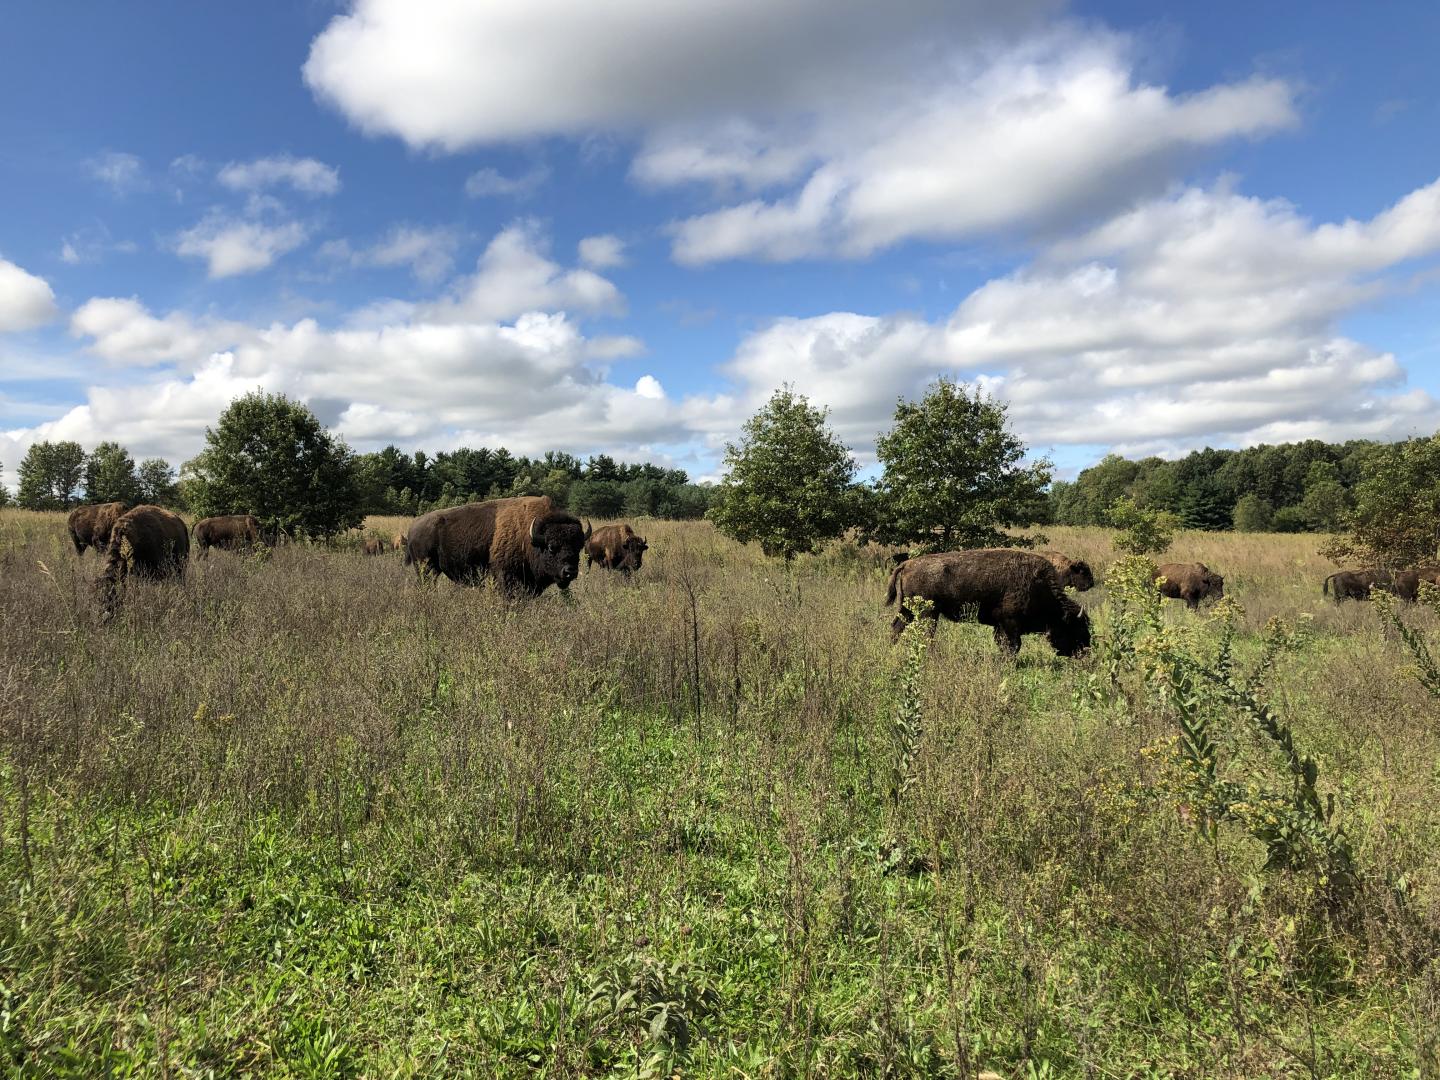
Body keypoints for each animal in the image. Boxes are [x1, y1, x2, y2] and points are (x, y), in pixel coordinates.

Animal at [403, 498, 587, 596]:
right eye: (551, 547)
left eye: (578, 547)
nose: (570, 571)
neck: (529, 537)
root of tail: (412, 527)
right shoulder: (505, 577)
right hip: (425, 568)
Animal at [875, 550, 1088, 659]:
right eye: (1077, 628)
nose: (1084, 652)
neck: (1039, 585)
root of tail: (907, 564)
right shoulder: (1010, 622)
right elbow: (1014, 645)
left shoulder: (1001, 625)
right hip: (927, 614)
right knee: (925, 634)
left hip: (909, 611)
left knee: (896, 627)